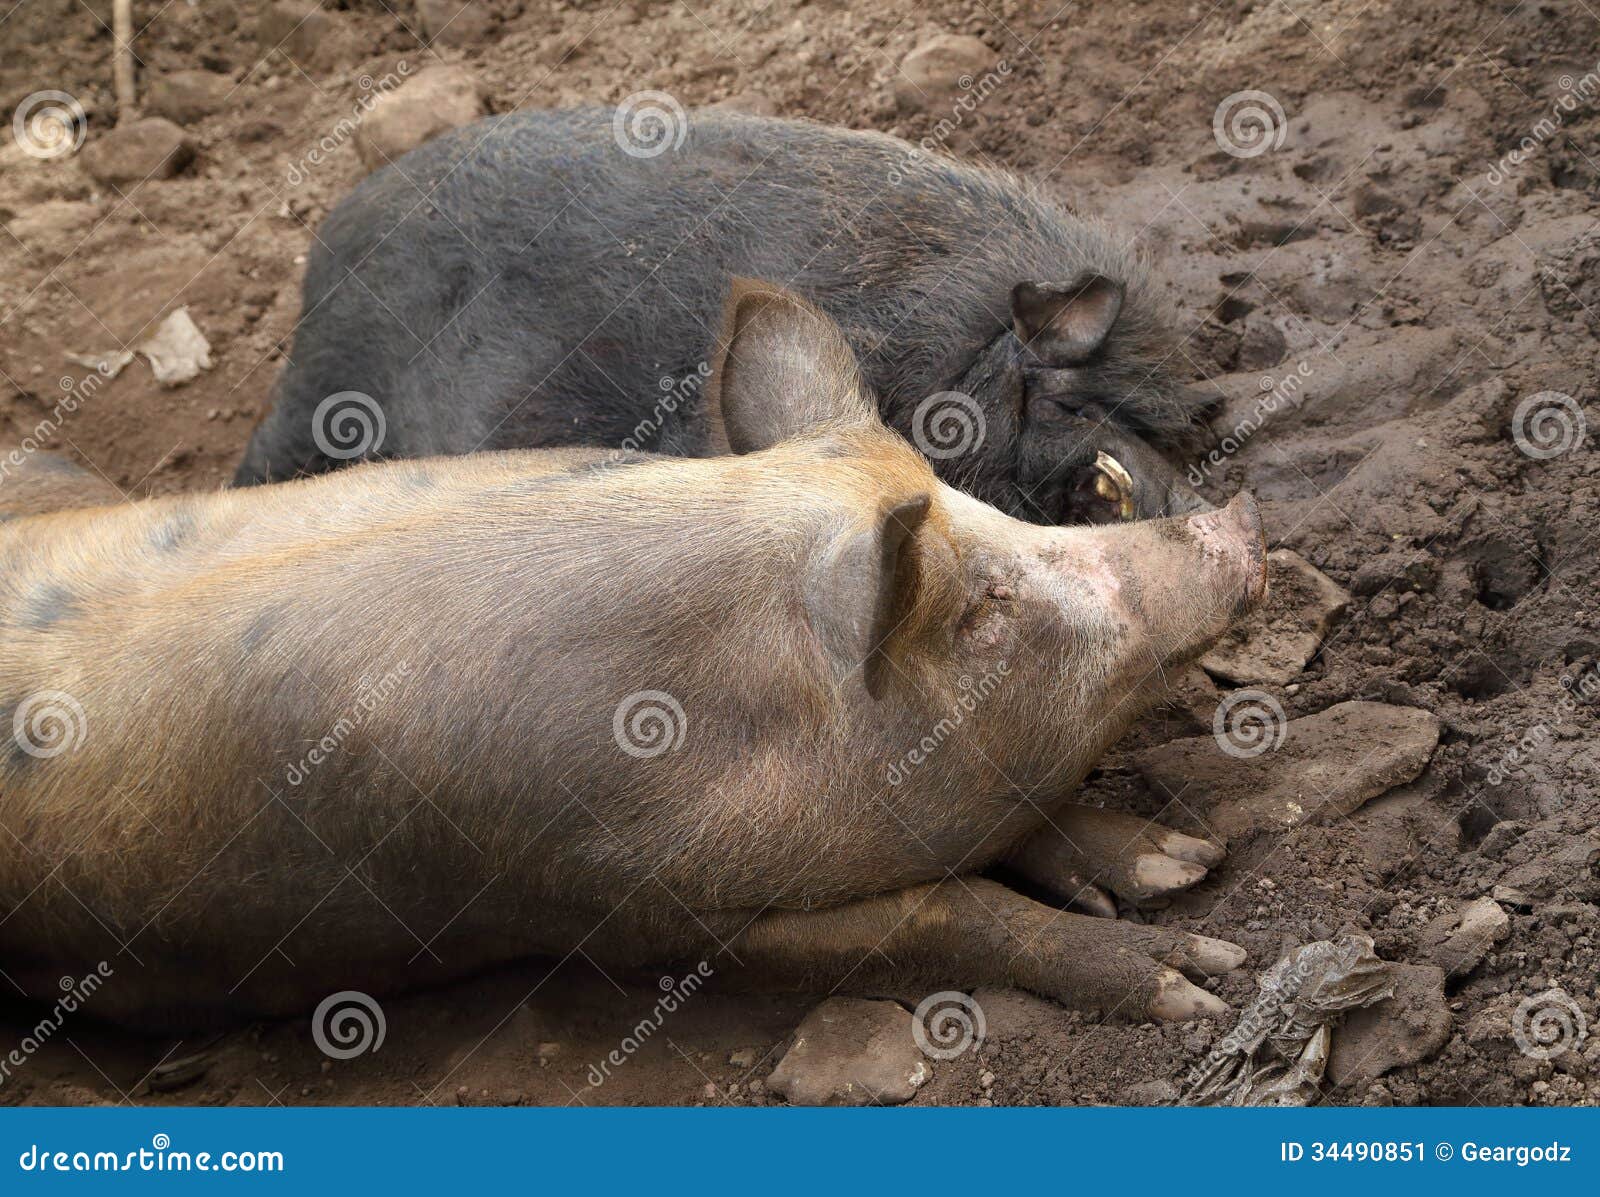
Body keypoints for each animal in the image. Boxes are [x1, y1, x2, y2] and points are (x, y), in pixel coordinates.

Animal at [0, 283, 1263, 1034]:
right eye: (987, 608)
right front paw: (1200, 979)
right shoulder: (640, 906)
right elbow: (953, 914)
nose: (1237, 525)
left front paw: (1176, 864)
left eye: (979, 505)